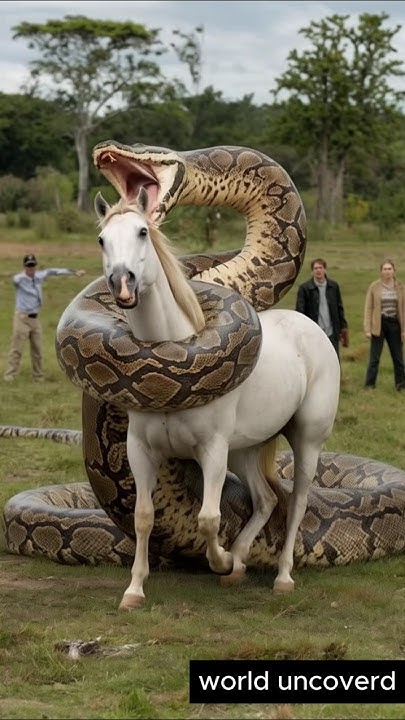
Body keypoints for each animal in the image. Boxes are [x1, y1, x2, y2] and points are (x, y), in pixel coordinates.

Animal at [94, 188, 341, 610]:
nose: (122, 283)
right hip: (244, 449)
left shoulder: (211, 450)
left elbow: (208, 518)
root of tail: (310, 328)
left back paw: (281, 575)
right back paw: (241, 560)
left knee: (296, 503)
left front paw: (221, 559)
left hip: (306, 440)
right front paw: (134, 589)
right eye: (101, 239)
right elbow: (143, 516)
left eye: (143, 232)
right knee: (266, 500)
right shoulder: (140, 449)